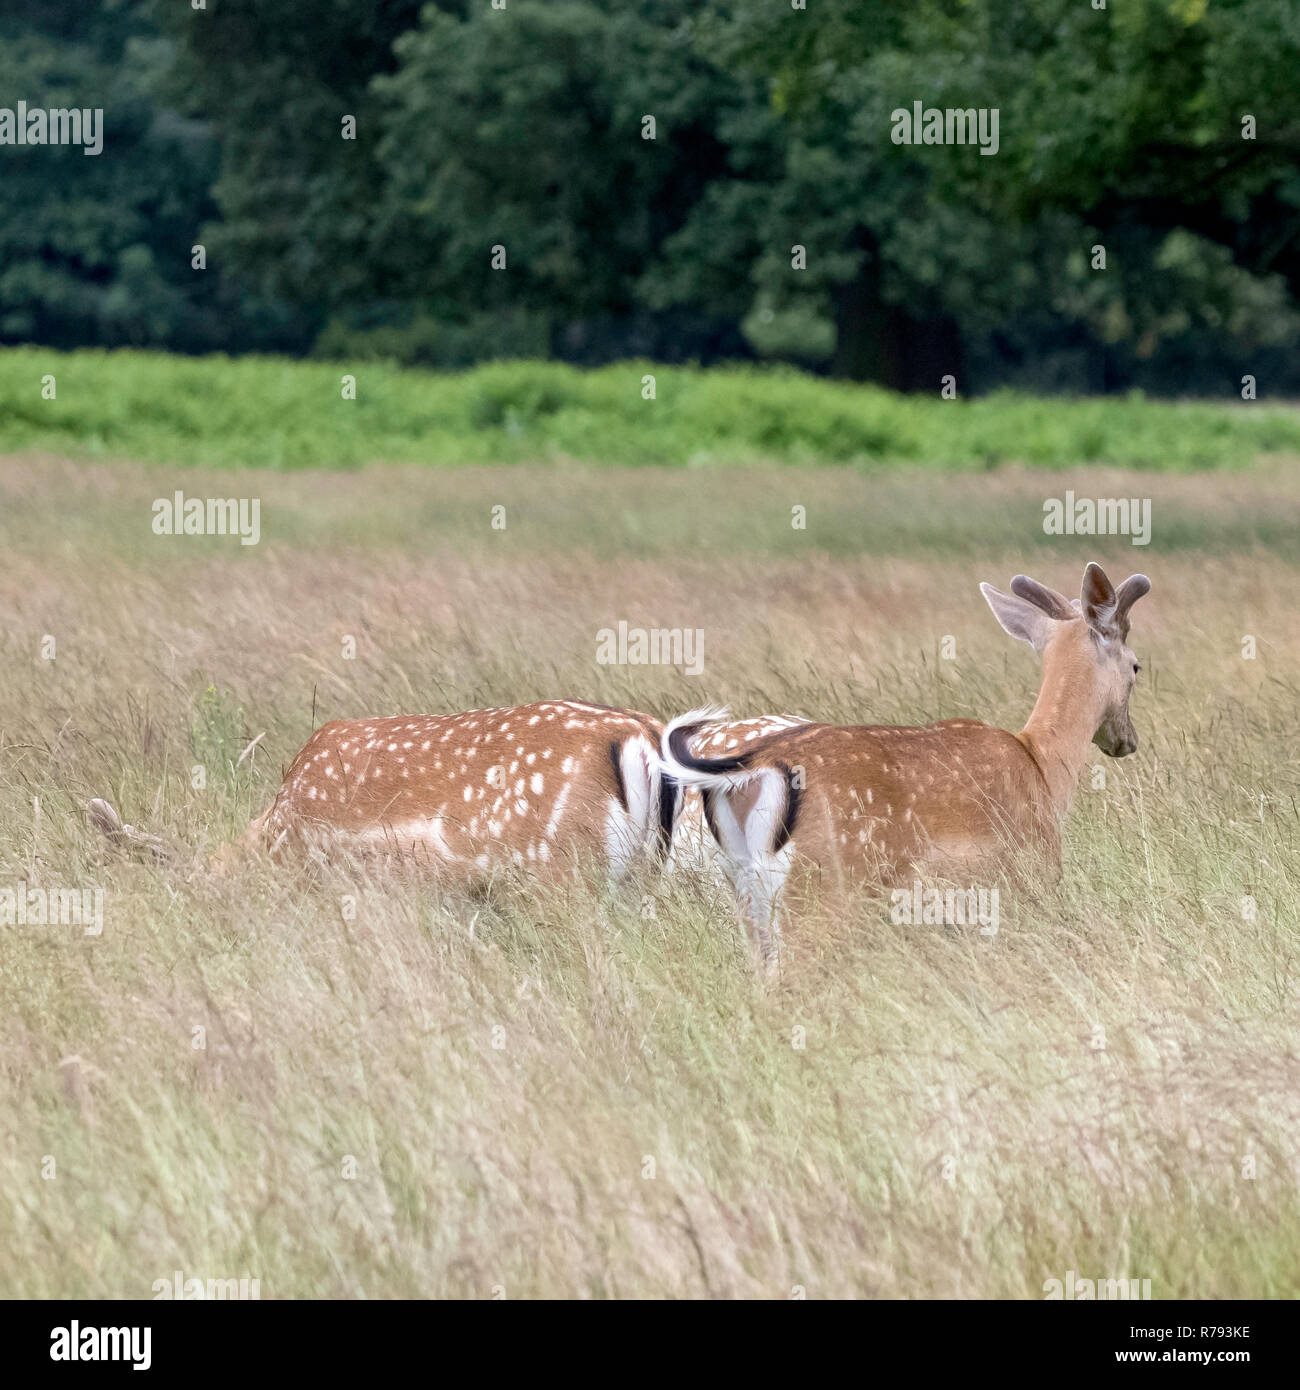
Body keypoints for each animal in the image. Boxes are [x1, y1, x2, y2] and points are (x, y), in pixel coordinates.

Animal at [658, 563, 1151, 975]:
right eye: (1136, 666)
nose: (1126, 741)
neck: (1044, 767)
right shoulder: (1034, 873)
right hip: (820, 889)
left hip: (743, 897)